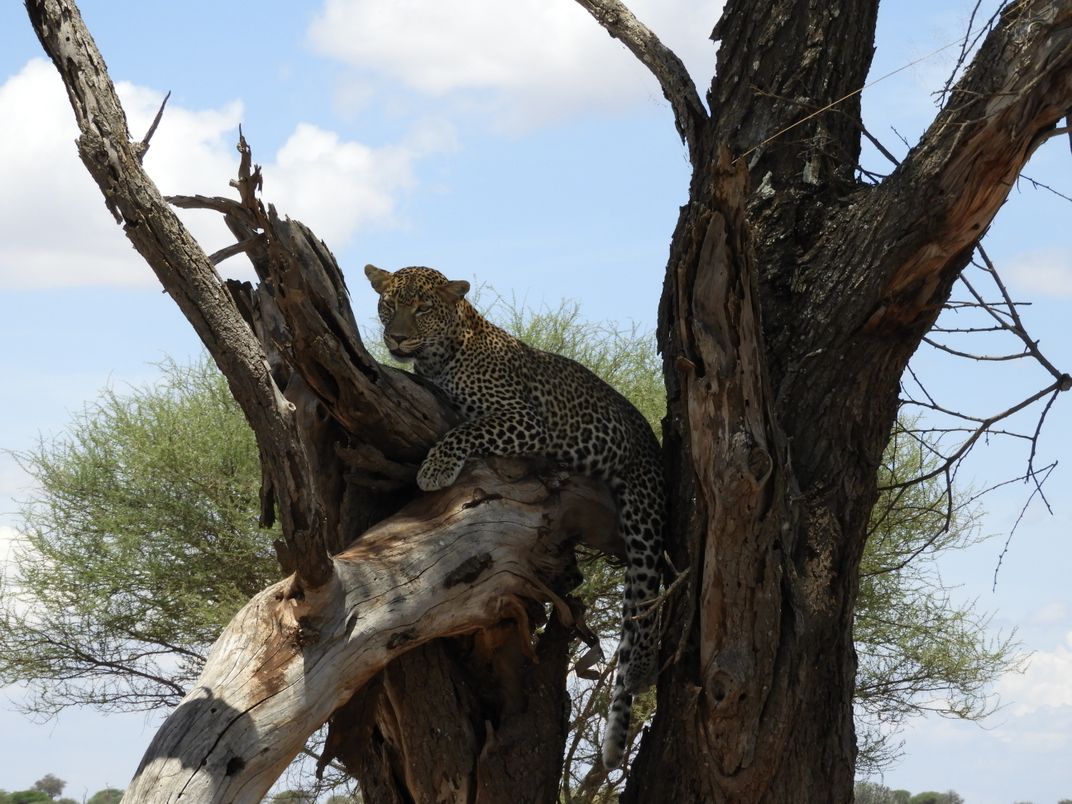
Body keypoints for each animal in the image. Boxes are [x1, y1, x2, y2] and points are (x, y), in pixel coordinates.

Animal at [364, 264, 665, 769]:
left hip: (643, 513)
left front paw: (434, 469)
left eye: (422, 308)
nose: (398, 338)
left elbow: (467, 429)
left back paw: (641, 675)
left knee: (644, 604)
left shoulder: (525, 418)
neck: (445, 352)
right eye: (389, 306)